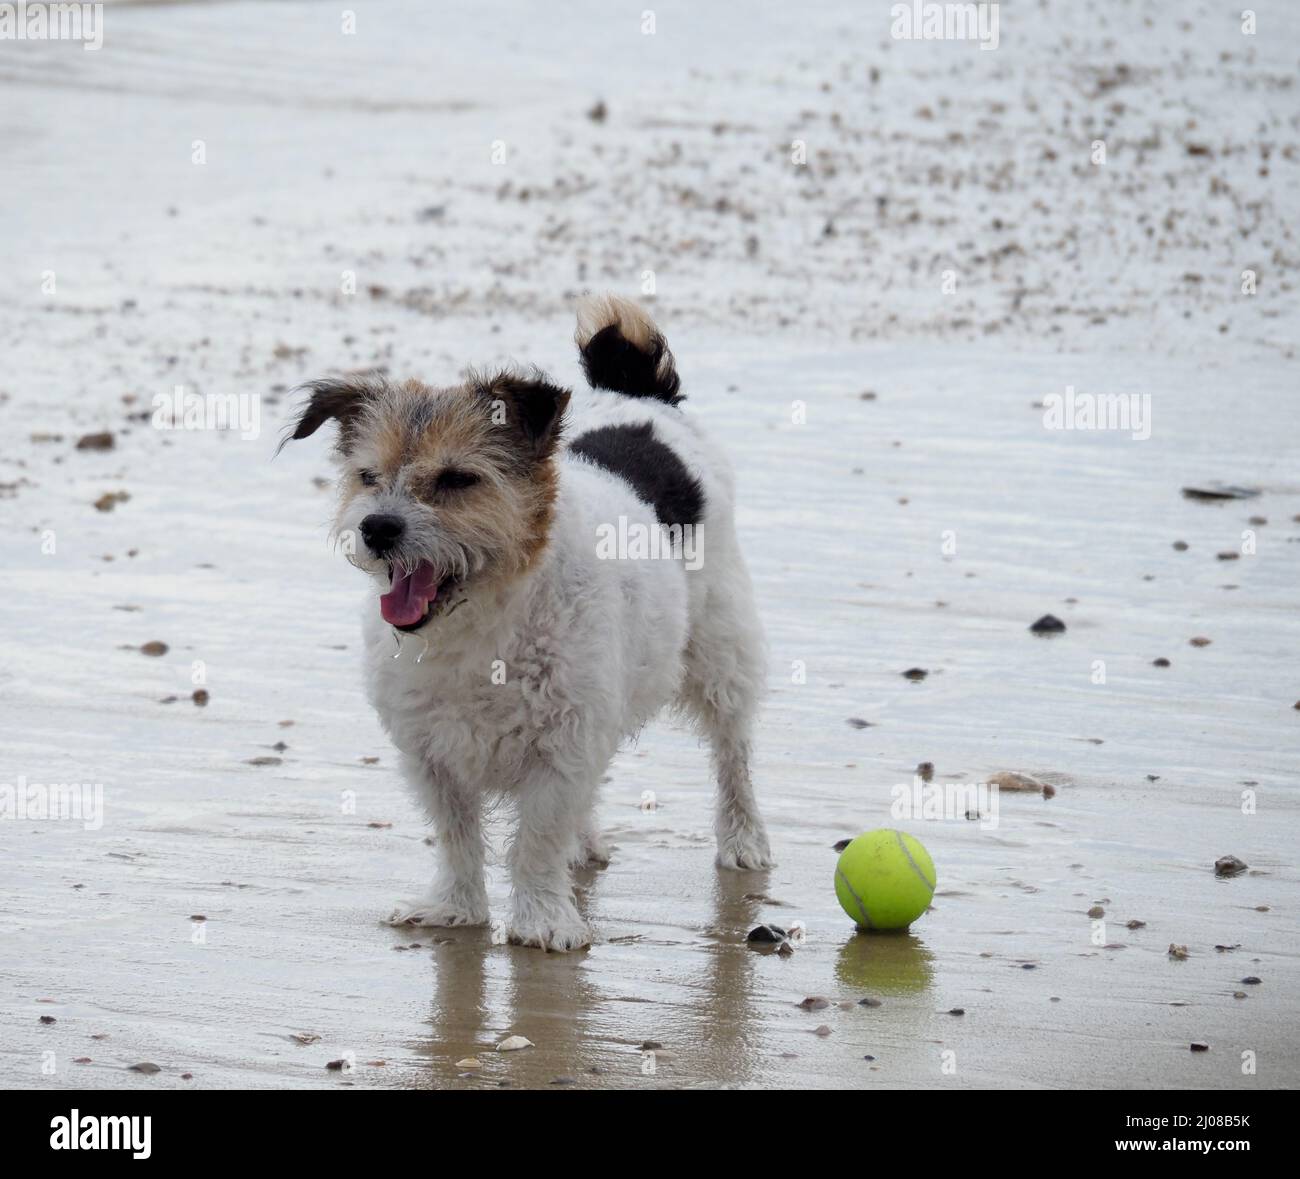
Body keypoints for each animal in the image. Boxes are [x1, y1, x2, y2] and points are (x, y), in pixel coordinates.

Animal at [284, 300, 769, 956]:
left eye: (458, 479)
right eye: (367, 476)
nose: (377, 528)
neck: (484, 621)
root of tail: (639, 395)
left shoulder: (561, 749)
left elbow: (537, 840)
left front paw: (543, 919)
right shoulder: (432, 754)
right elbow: (458, 837)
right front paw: (456, 908)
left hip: (723, 653)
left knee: (732, 753)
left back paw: (743, 840)